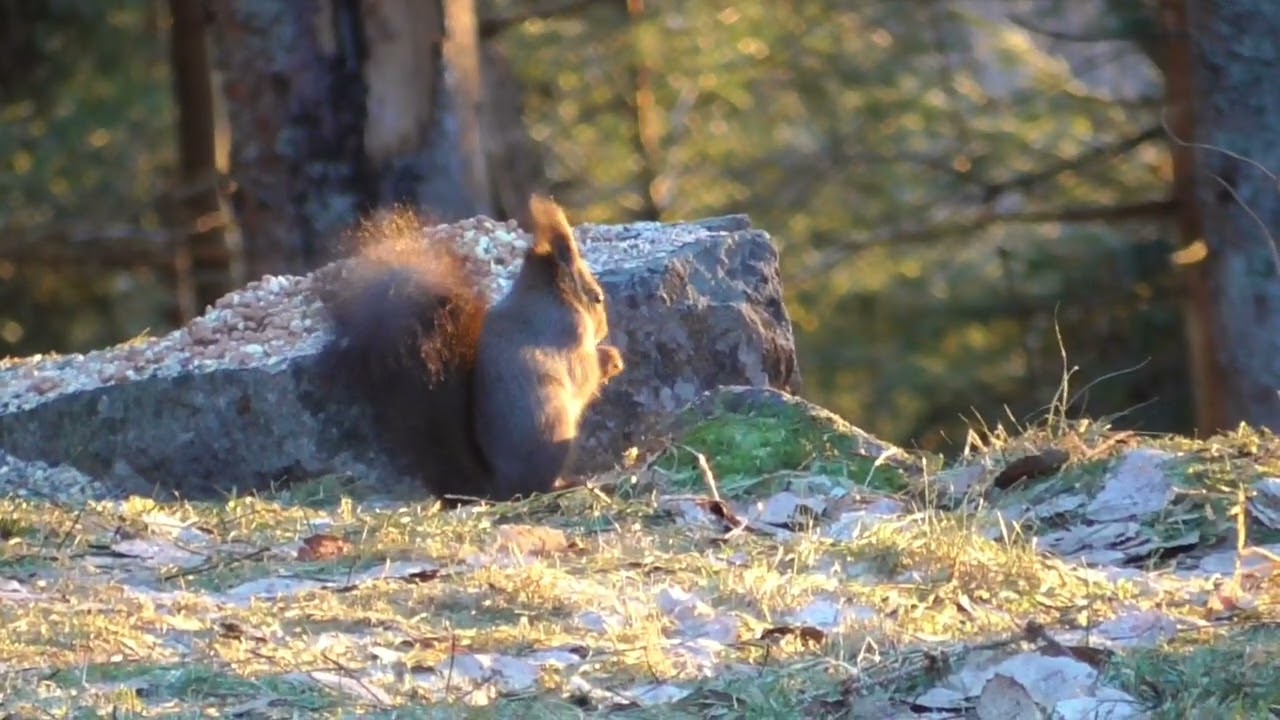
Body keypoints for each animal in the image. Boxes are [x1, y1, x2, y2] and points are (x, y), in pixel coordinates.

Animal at [317, 195, 623, 505]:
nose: (604, 329)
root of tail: (500, 486)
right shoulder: (569, 332)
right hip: (555, 424)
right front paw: (612, 358)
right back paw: (569, 483)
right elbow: (584, 376)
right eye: (597, 298)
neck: (551, 296)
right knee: (540, 486)